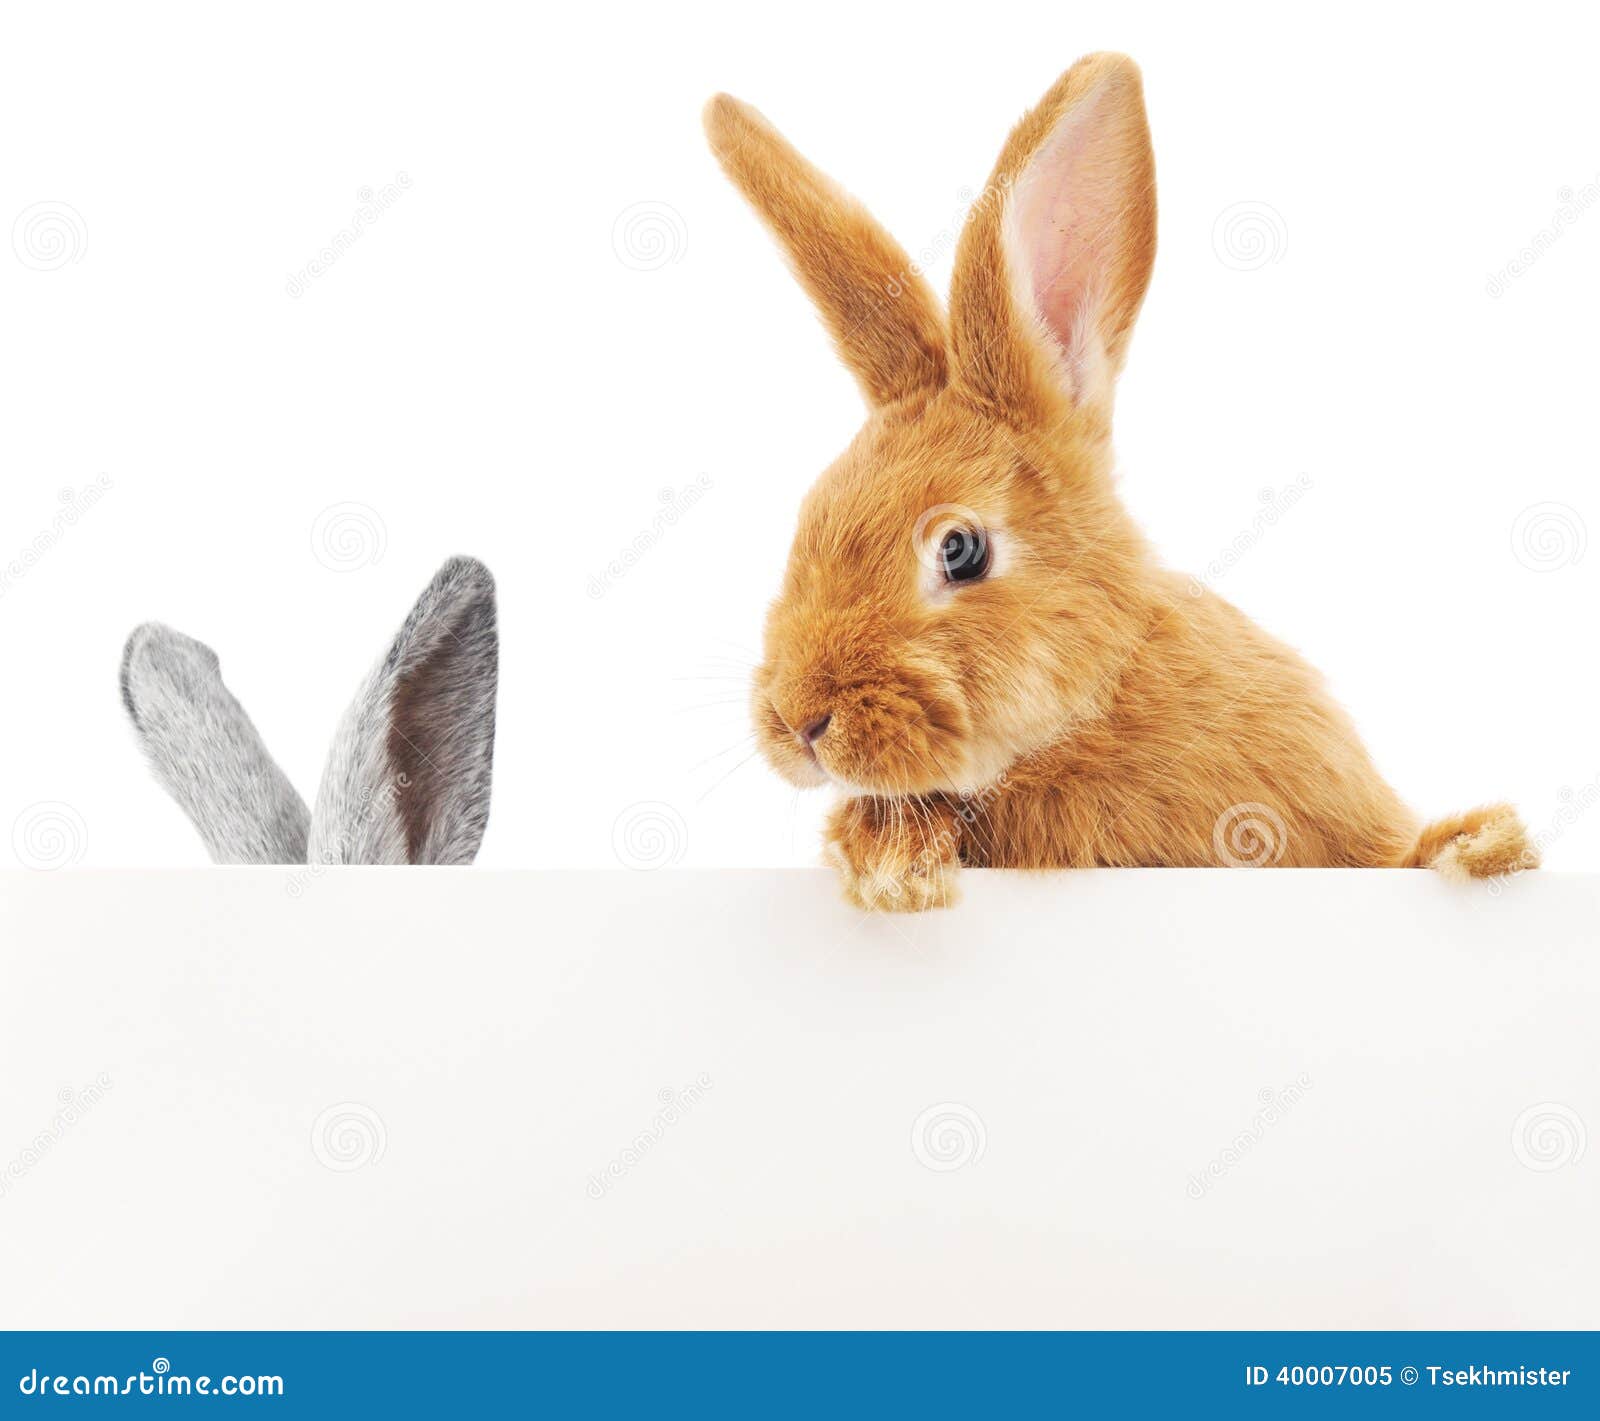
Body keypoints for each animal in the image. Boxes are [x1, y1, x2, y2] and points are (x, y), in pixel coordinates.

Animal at [703, 53, 1536, 911]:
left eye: (960, 549)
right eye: (810, 514)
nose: (801, 717)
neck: (1085, 715)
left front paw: (1478, 846)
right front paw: (888, 861)